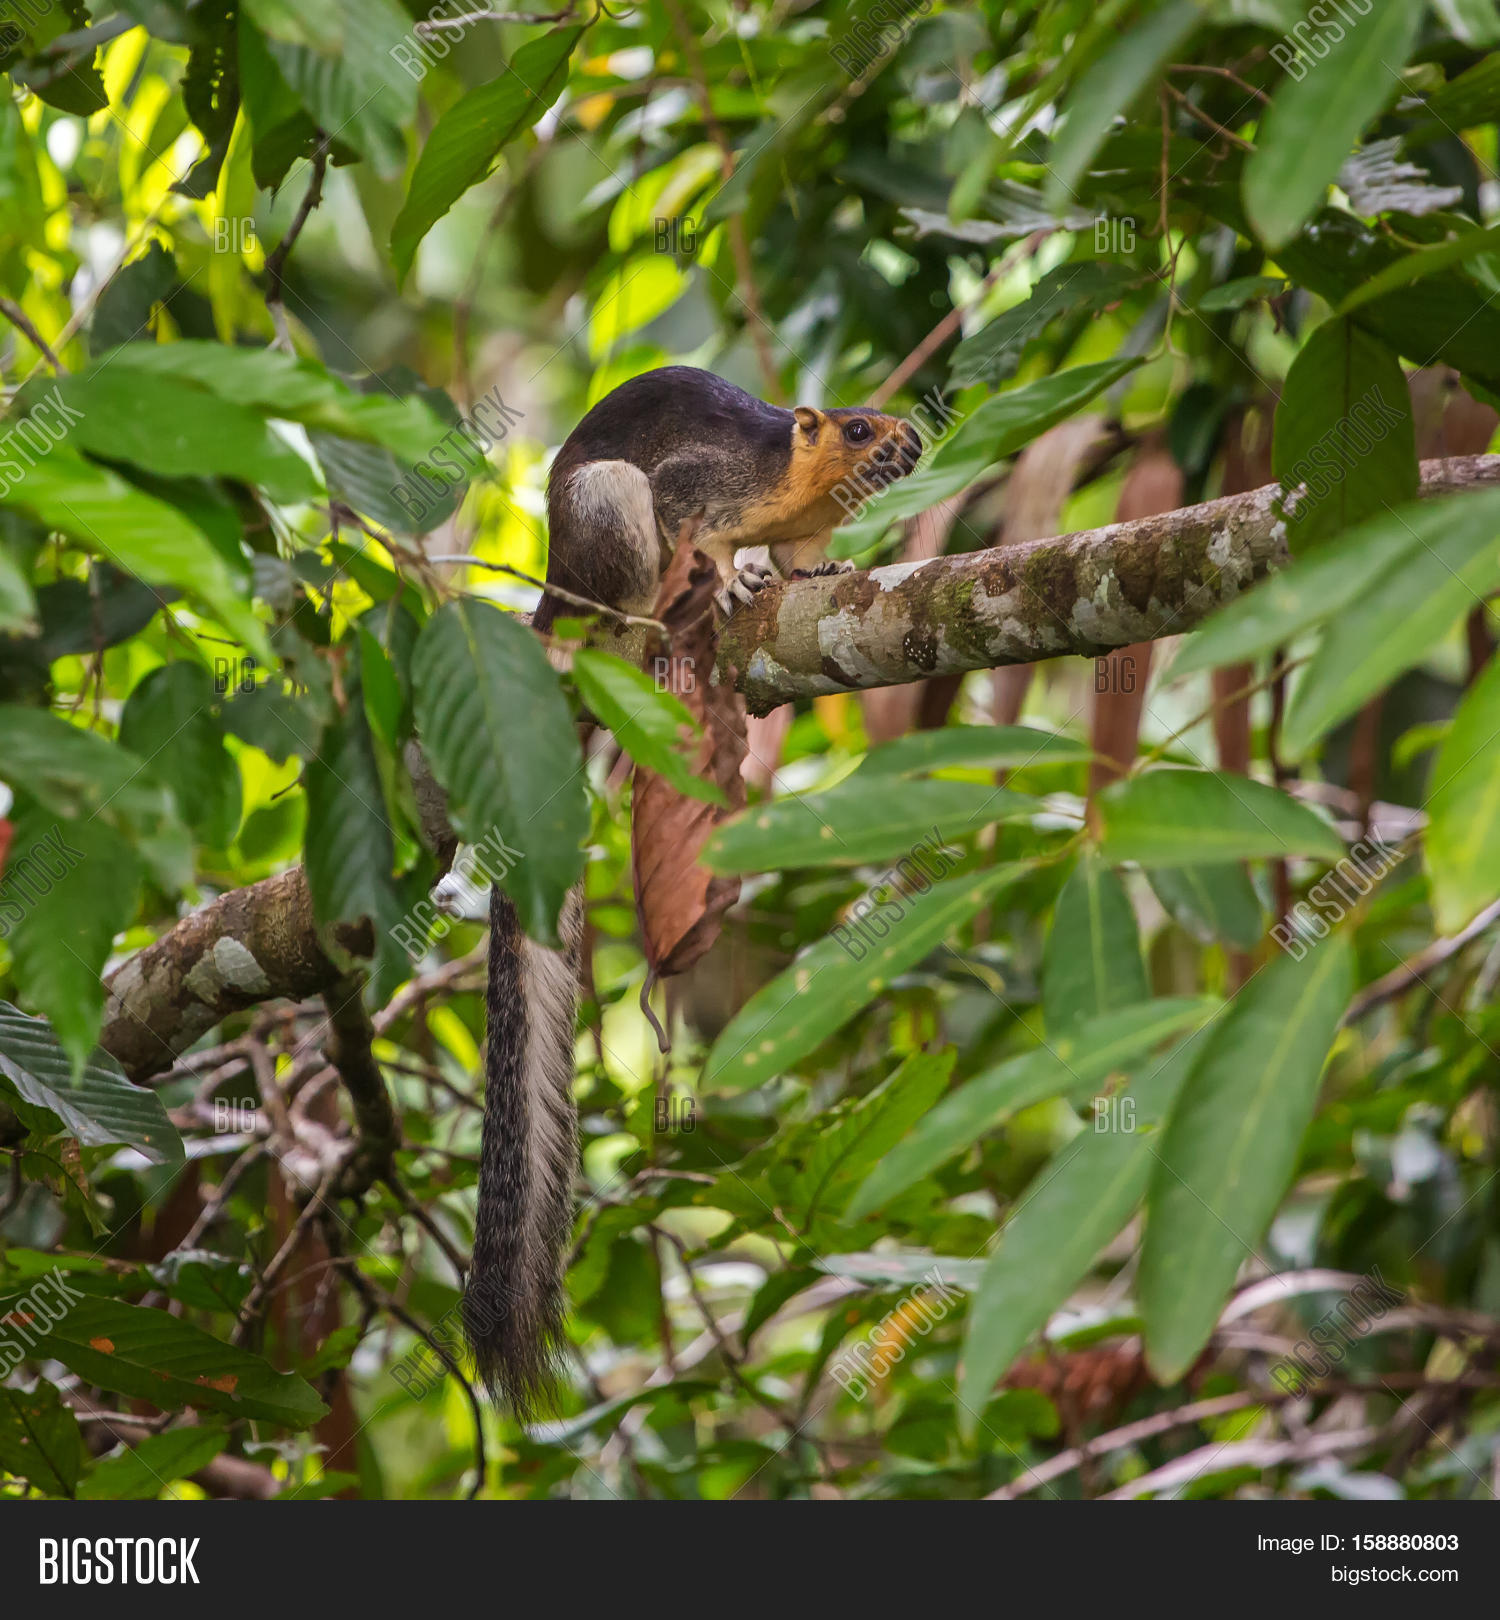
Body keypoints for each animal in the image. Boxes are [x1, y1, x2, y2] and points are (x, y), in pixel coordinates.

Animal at [460, 365, 921, 1413]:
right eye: (858, 428)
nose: (911, 443)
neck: (793, 491)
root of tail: (550, 595)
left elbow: (802, 561)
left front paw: (813, 575)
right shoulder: (706, 481)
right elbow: (696, 522)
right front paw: (741, 575)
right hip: (599, 526)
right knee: (626, 546)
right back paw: (640, 618)